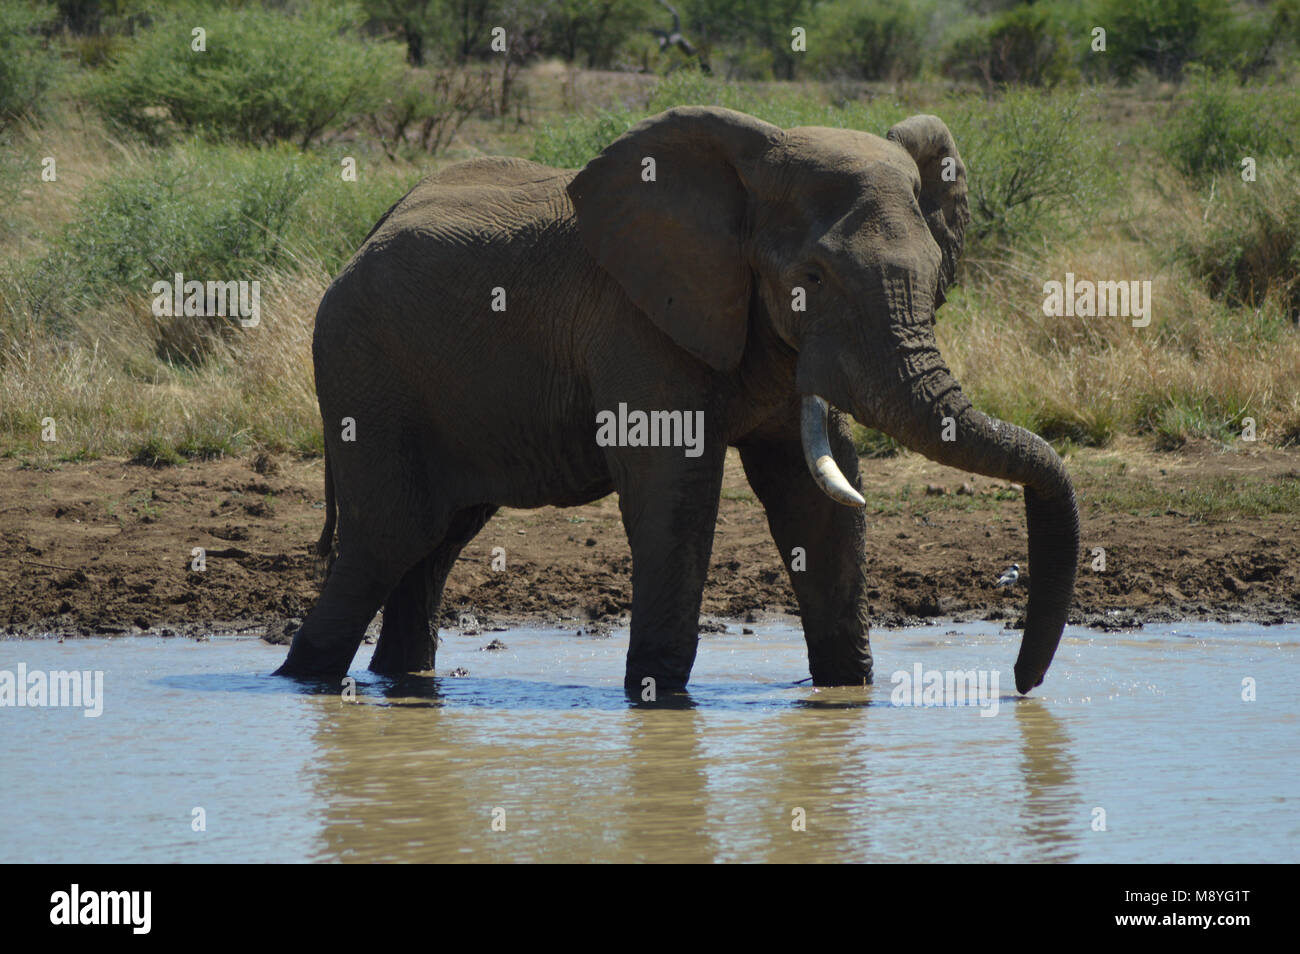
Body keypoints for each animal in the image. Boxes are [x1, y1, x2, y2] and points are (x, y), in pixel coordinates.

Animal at [275, 105, 1080, 695]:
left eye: (938, 274)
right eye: (812, 279)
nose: (1022, 683)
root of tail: (364, 237)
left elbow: (817, 497)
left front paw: (845, 693)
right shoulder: (637, 322)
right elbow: (677, 490)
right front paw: (658, 697)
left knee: (437, 539)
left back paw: (402, 681)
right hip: (362, 369)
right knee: (389, 536)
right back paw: (303, 679)